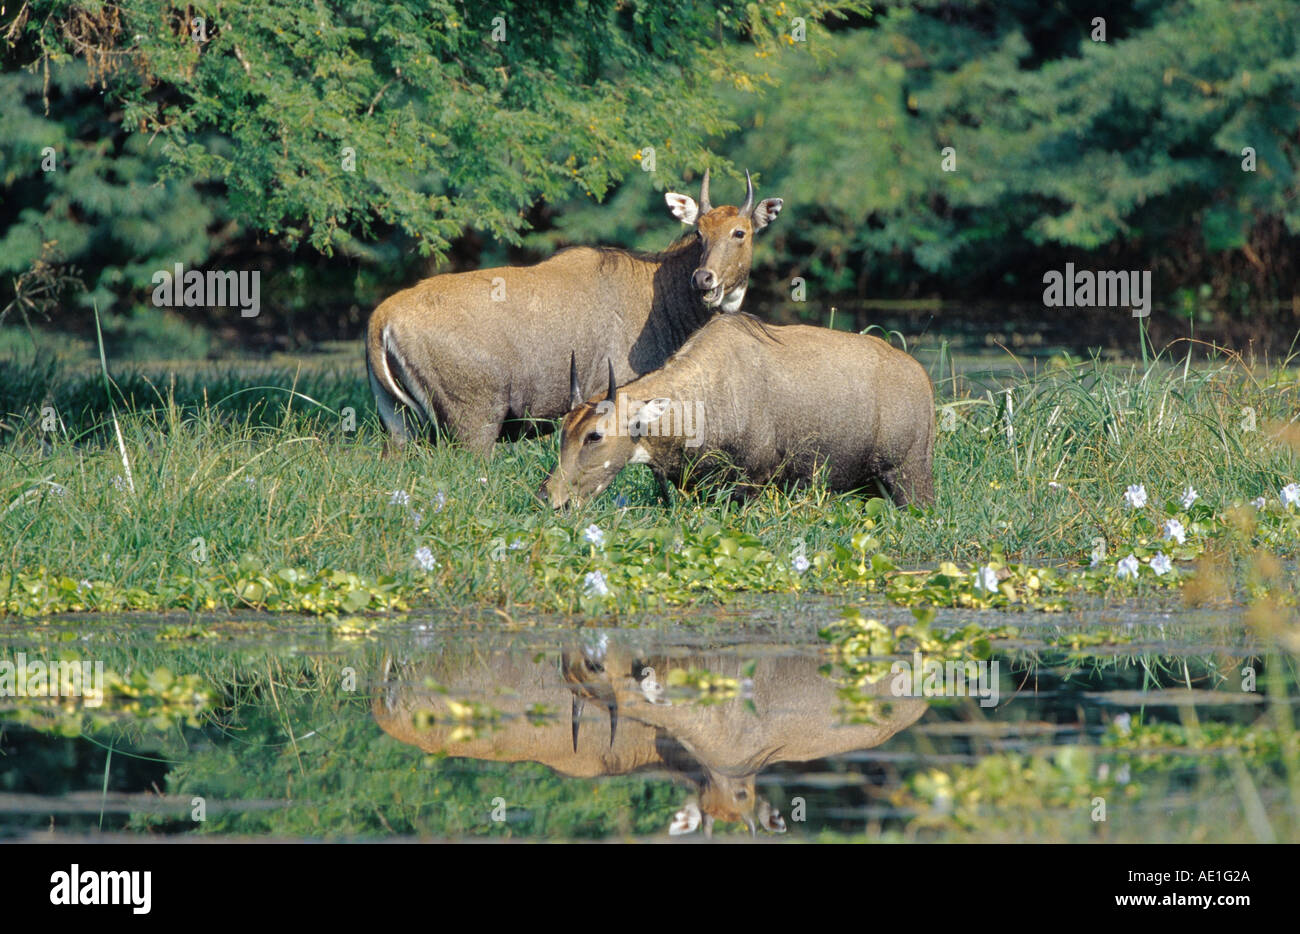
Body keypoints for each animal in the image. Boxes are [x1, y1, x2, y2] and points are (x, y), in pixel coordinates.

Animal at [365, 172, 783, 454]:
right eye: (698, 232)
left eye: (740, 232)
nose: (704, 279)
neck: (661, 294)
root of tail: (380, 320)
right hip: (475, 423)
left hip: (398, 424)